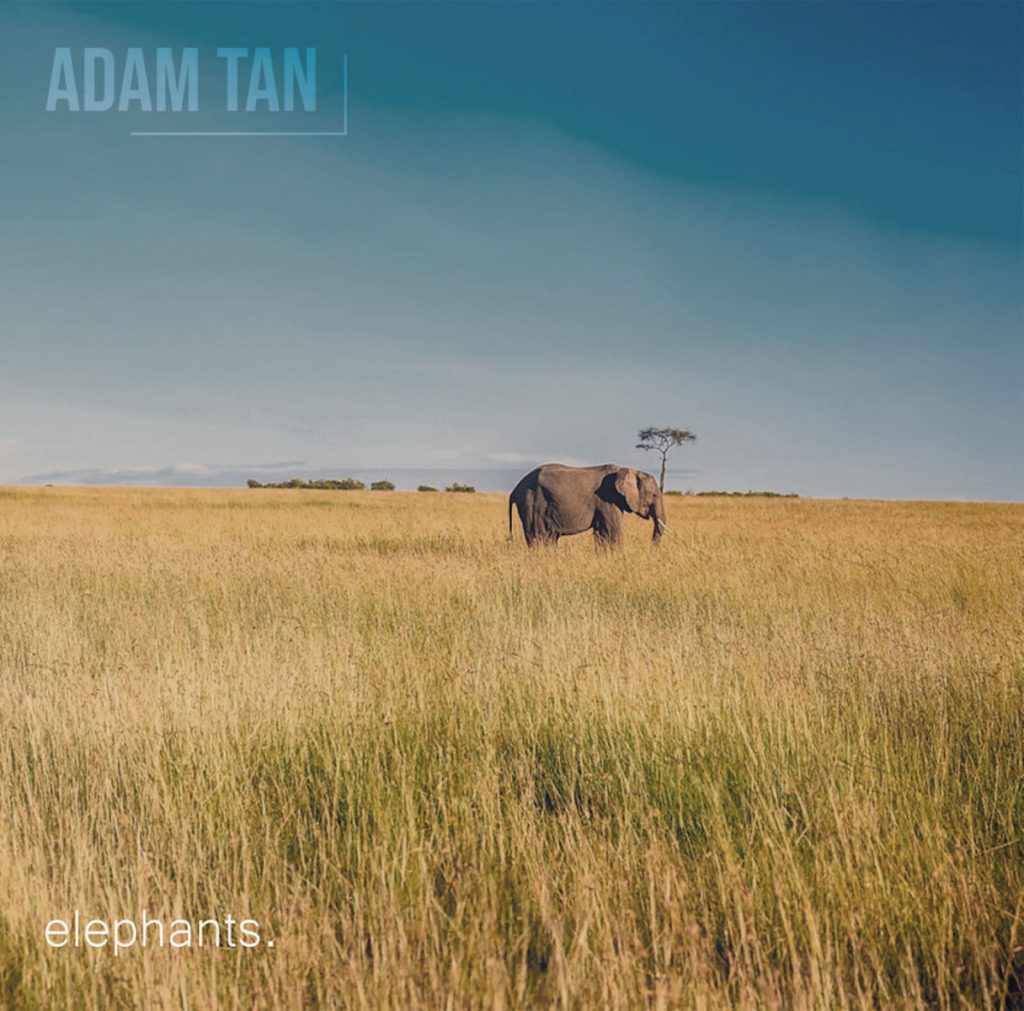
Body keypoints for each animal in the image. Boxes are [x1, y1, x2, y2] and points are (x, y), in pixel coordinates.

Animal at [508, 464, 667, 546]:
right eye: (654, 495)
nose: (651, 549)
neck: (626, 470)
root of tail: (515, 489)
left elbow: (601, 533)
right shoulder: (607, 500)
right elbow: (613, 531)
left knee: (549, 538)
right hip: (532, 503)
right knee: (539, 538)